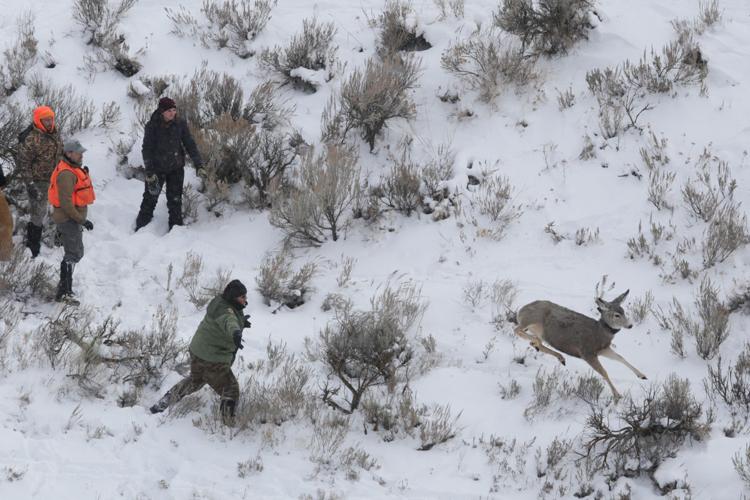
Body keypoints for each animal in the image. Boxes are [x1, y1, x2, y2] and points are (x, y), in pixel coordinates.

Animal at [513, 290, 646, 401]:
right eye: (616, 315)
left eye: (623, 311)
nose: (630, 325)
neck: (600, 333)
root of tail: (521, 310)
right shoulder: (587, 352)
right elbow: (604, 372)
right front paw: (617, 395)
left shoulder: (603, 349)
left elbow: (620, 358)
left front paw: (642, 375)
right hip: (532, 319)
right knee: (517, 330)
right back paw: (539, 343)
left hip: (537, 329)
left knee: (533, 341)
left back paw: (558, 356)